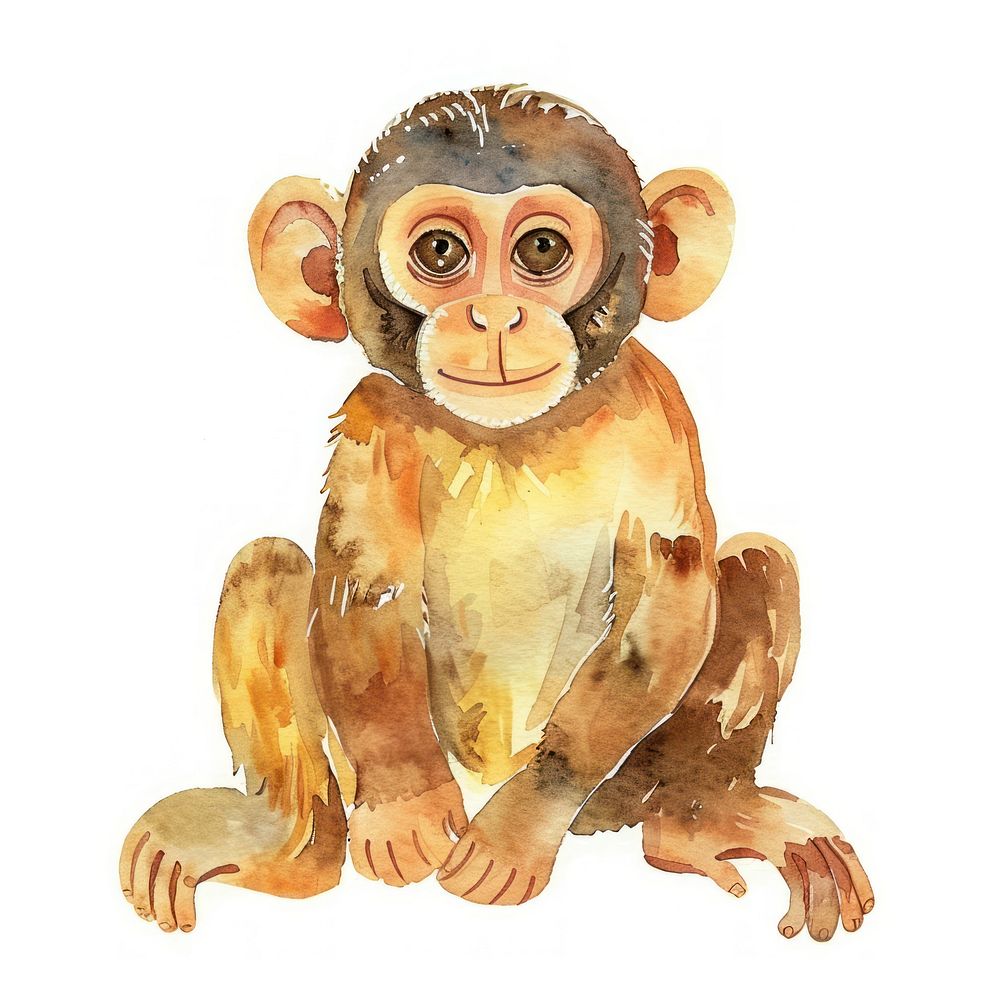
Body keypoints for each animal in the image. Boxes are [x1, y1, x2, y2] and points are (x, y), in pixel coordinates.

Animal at [120, 85, 873, 941]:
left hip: (617, 795)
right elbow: (367, 588)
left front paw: (515, 837)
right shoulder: (376, 419)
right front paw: (407, 808)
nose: (493, 316)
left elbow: (669, 594)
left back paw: (695, 819)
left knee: (758, 565)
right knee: (268, 566)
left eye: (540, 251)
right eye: (441, 254)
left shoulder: (657, 409)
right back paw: (289, 845)